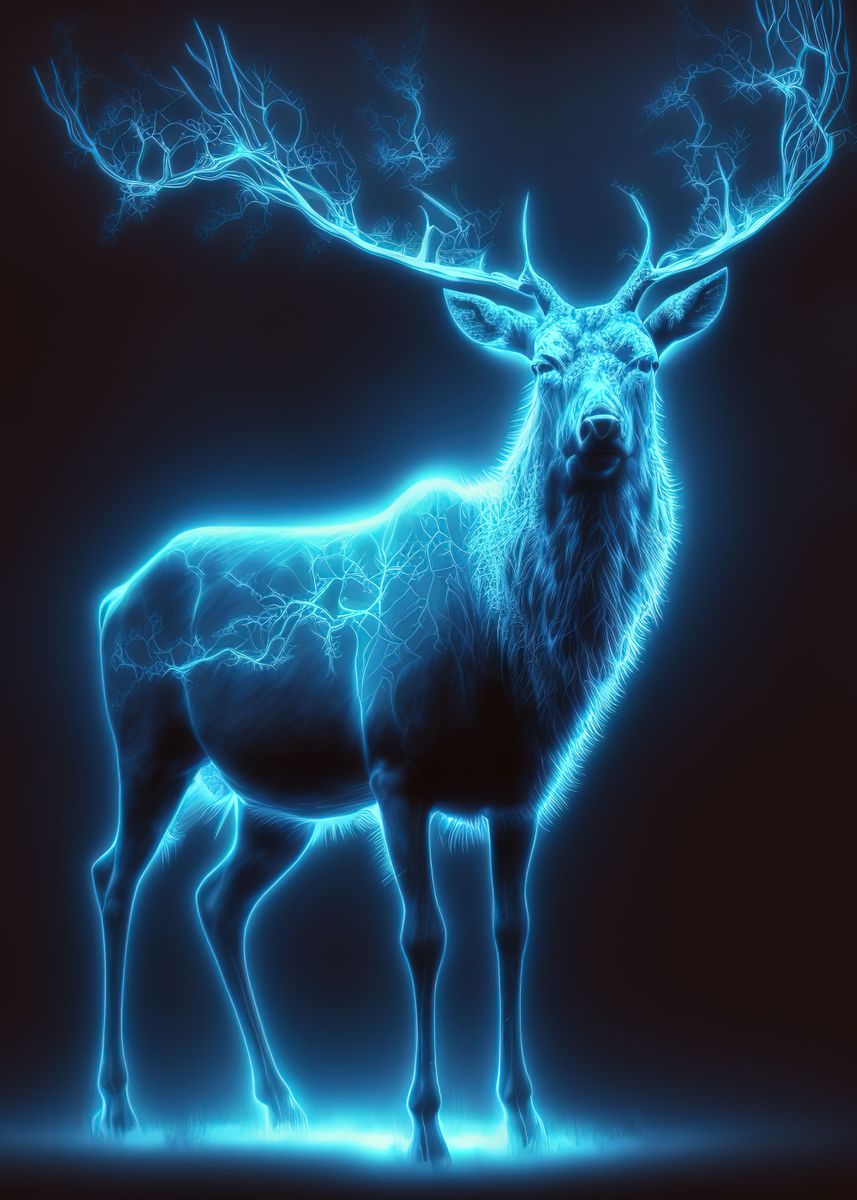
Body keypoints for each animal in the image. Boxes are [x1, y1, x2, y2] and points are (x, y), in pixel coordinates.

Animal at [37, 0, 848, 1164]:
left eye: (645, 359)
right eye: (544, 363)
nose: (598, 429)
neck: (514, 654)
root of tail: (110, 592)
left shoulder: (521, 787)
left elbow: (512, 932)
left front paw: (524, 1116)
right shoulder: (396, 761)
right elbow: (423, 937)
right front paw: (424, 1125)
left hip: (276, 799)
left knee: (218, 900)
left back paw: (281, 1100)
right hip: (148, 733)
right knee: (115, 876)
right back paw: (117, 1103)